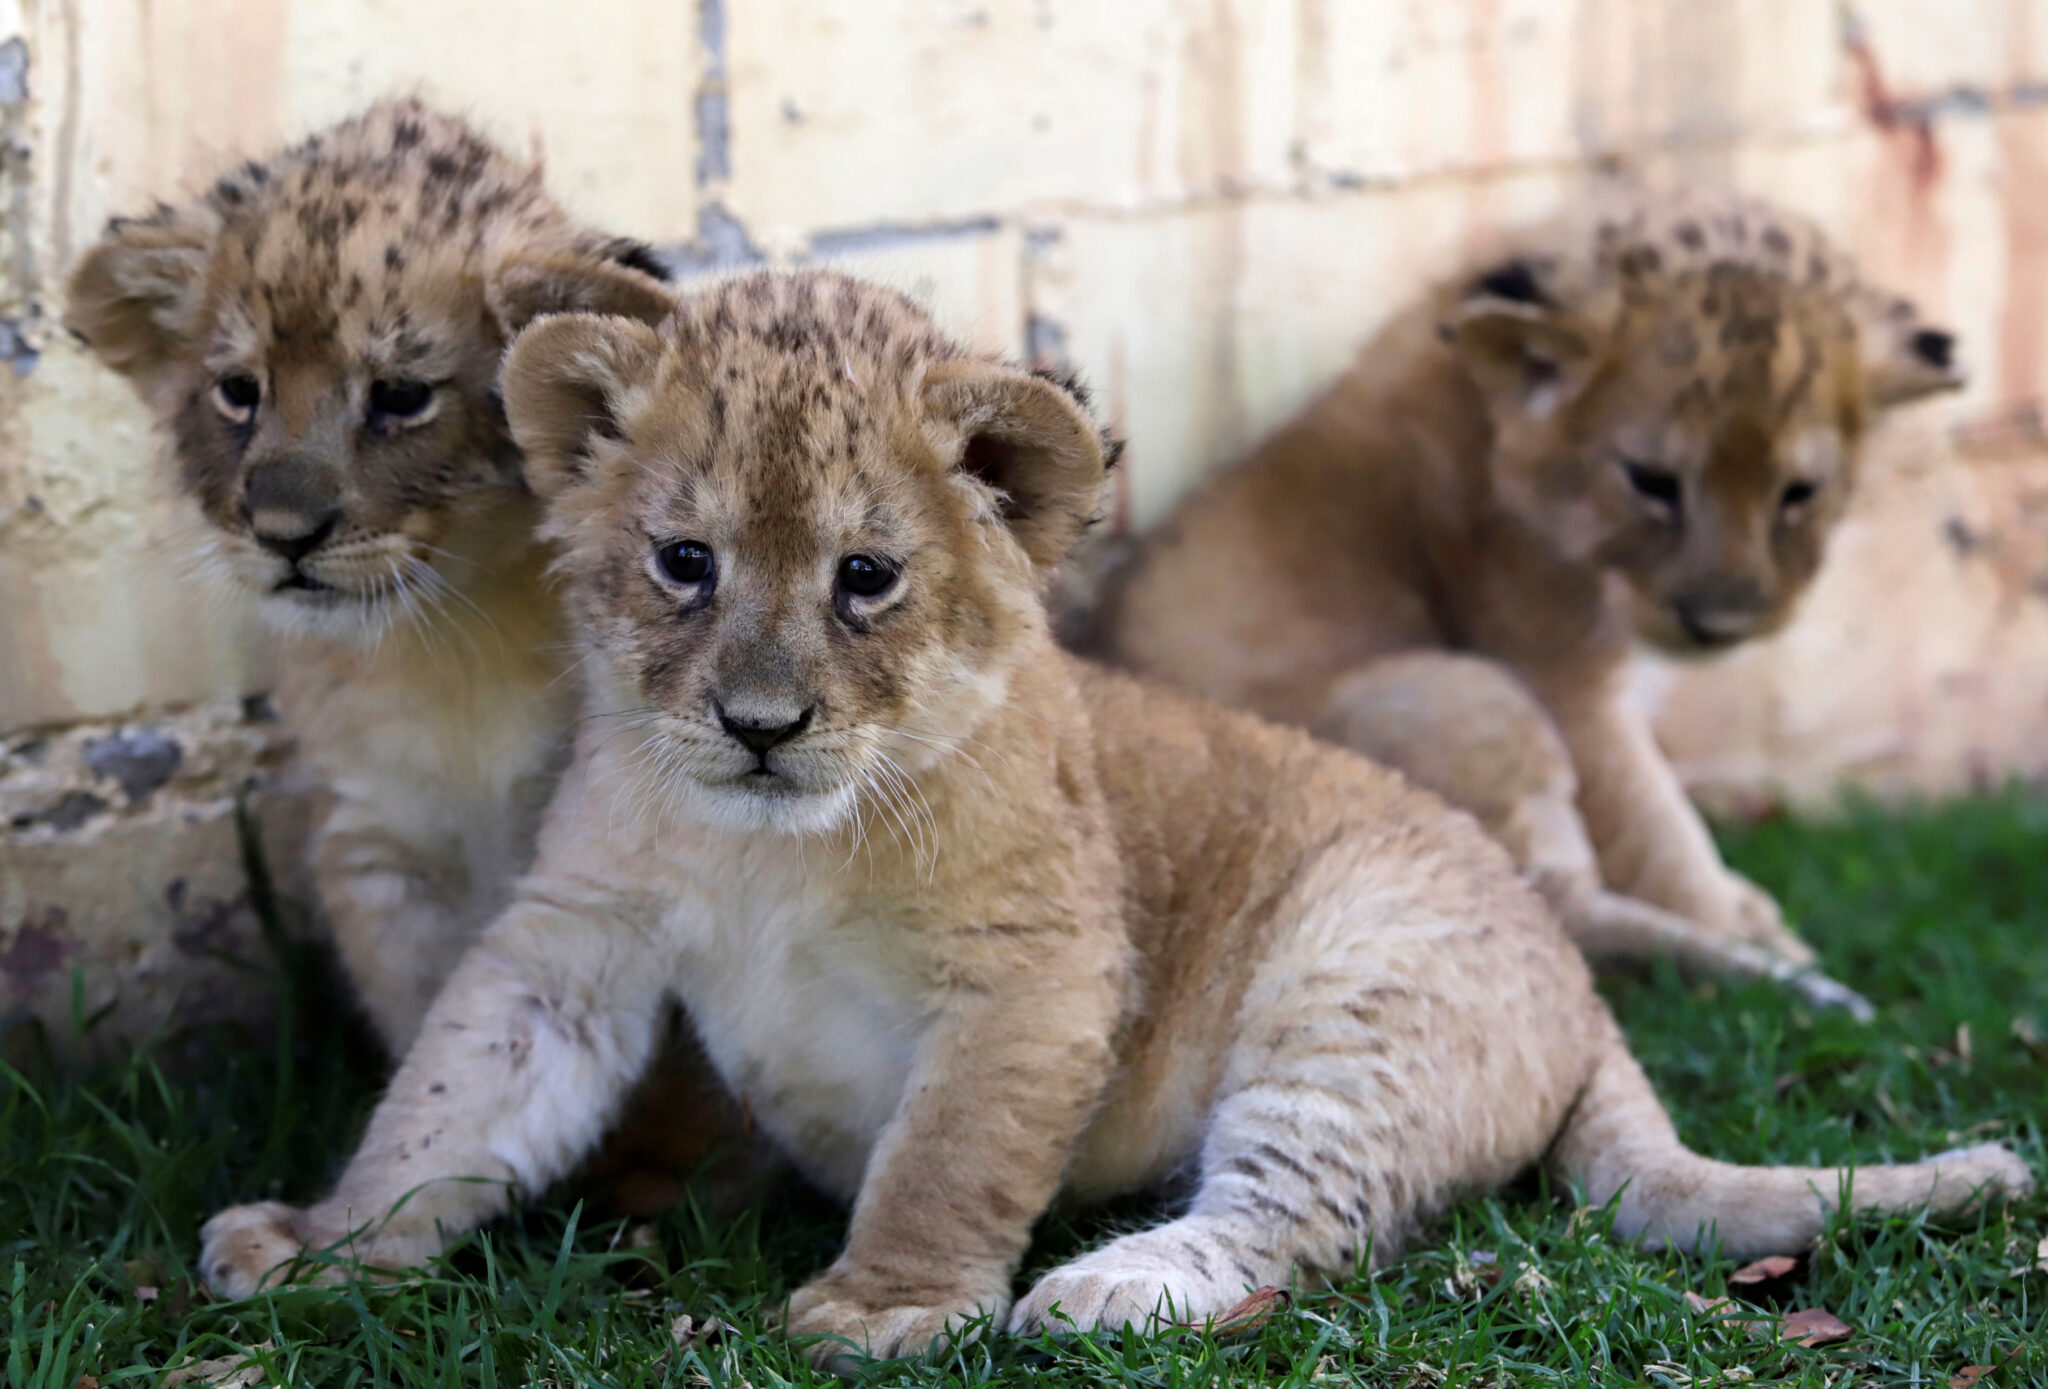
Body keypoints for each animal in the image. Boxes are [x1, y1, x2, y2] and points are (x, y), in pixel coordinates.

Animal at [1089, 193, 1964, 1016]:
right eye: (1652, 481)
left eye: (1799, 492)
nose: (1717, 624)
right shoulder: (1558, 673)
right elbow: (1656, 824)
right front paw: (1738, 918)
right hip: (1464, 690)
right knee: (1558, 907)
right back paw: (1795, 978)